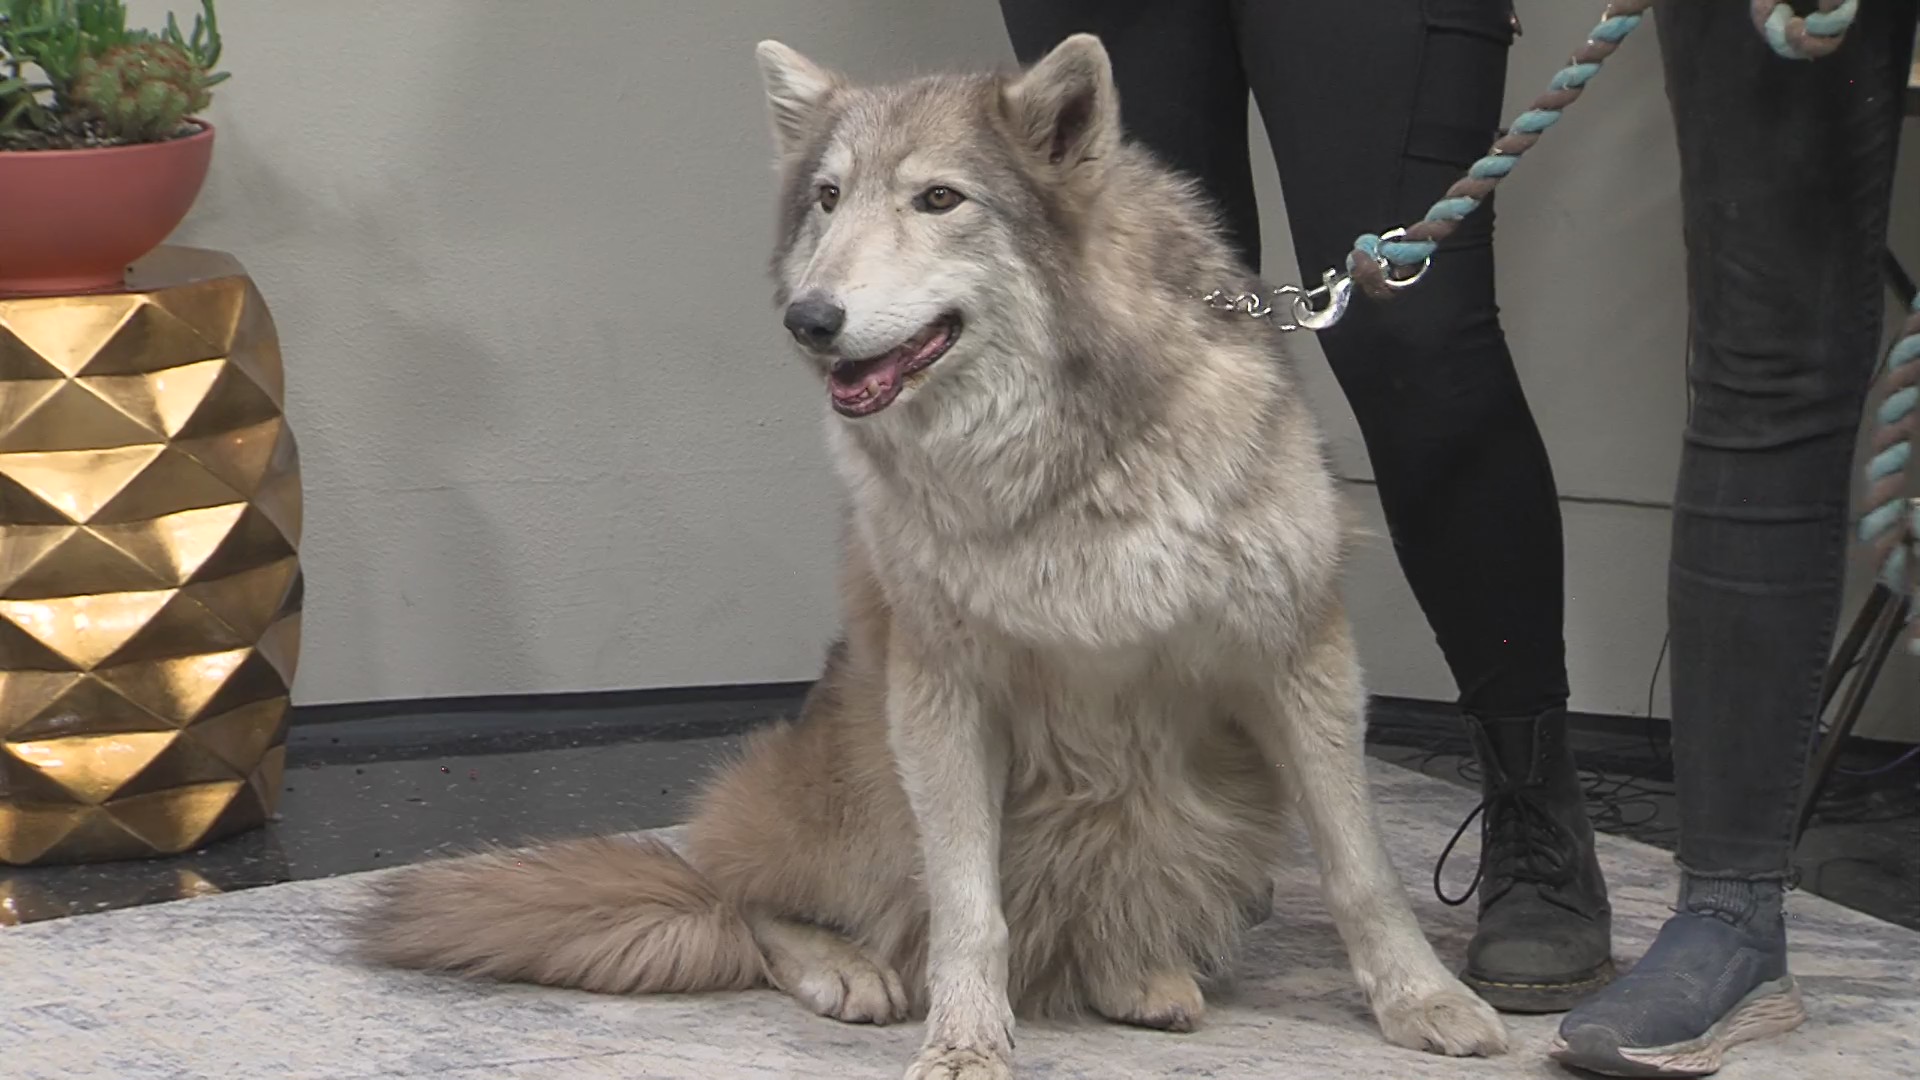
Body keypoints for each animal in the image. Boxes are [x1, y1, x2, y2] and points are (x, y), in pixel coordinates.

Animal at [353, 34, 1511, 1079]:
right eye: (827, 199)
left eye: (940, 200)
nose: (808, 319)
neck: (1066, 460)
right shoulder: (941, 692)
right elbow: (966, 907)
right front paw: (964, 1042)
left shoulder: (1300, 660)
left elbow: (1364, 870)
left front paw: (1424, 1003)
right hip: (859, 777)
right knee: (745, 903)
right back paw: (850, 967)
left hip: (1214, 799)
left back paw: (1140, 976)